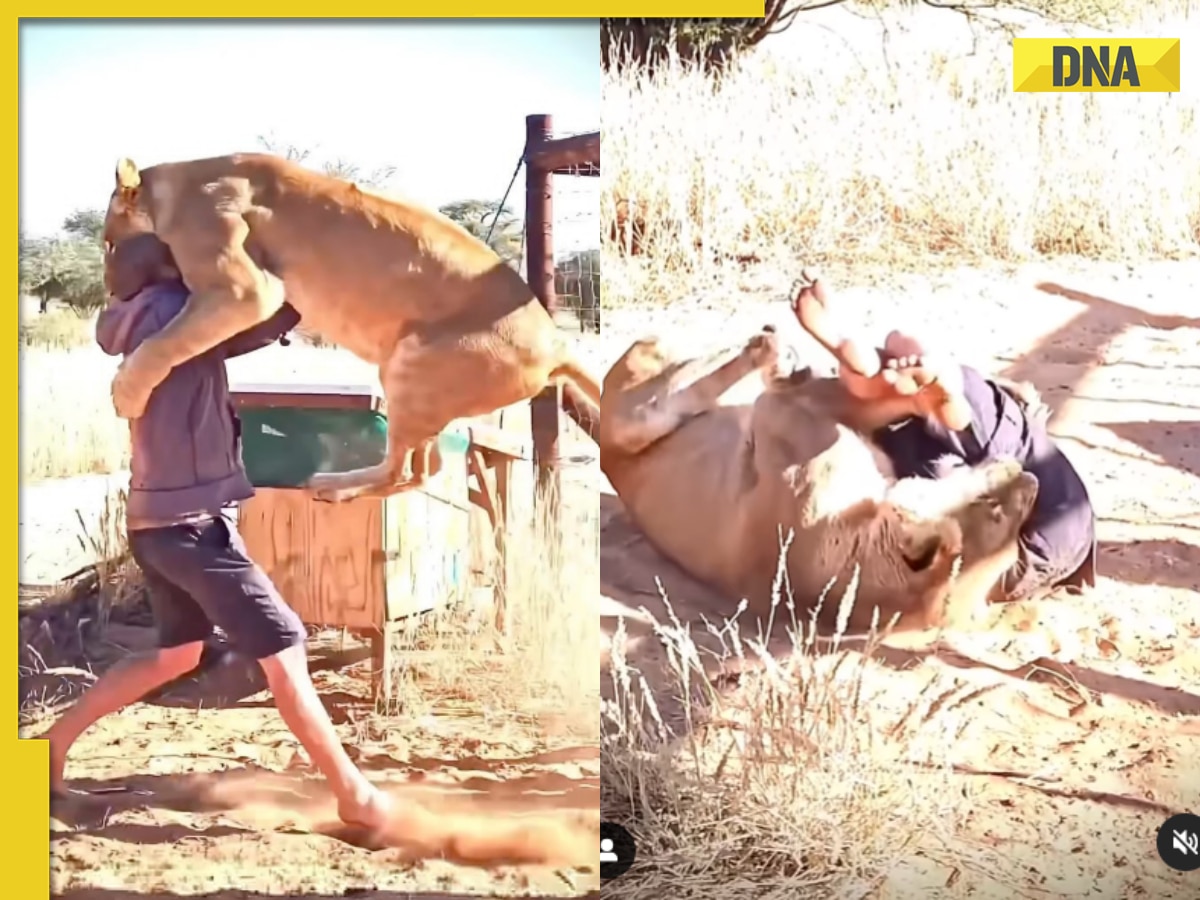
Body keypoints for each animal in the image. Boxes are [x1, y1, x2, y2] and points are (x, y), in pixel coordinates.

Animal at [100, 153, 601, 502]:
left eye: (107, 243)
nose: (107, 285)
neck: (176, 186)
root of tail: (559, 341)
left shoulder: (242, 288)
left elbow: (162, 343)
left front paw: (126, 393)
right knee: (425, 469)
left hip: (411, 370)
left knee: (404, 469)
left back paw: (334, 485)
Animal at [598, 327, 1041, 632]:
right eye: (996, 511)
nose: (1029, 479)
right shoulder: (788, 411)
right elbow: (874, 398)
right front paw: (926, 390)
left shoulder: (783, 411)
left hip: (641, 414)